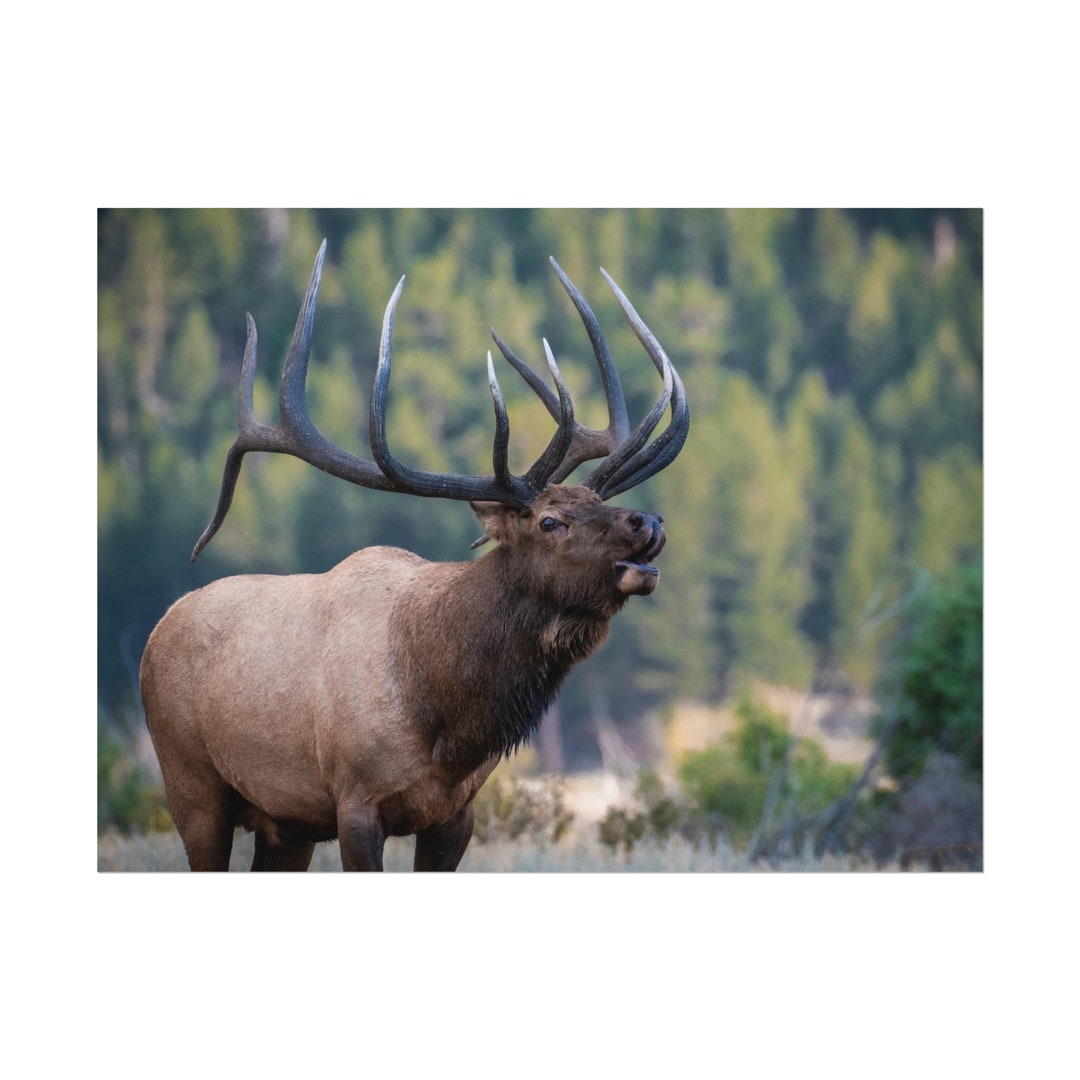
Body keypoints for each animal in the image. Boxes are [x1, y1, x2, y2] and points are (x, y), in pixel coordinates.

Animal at [139, 240, 689, 871]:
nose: (648, 521)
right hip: (192, 785)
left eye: (599, 501)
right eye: (550, 521)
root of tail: (157, 629)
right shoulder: (354, 802)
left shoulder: (456, 812)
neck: (446, 721)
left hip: (285, 823)